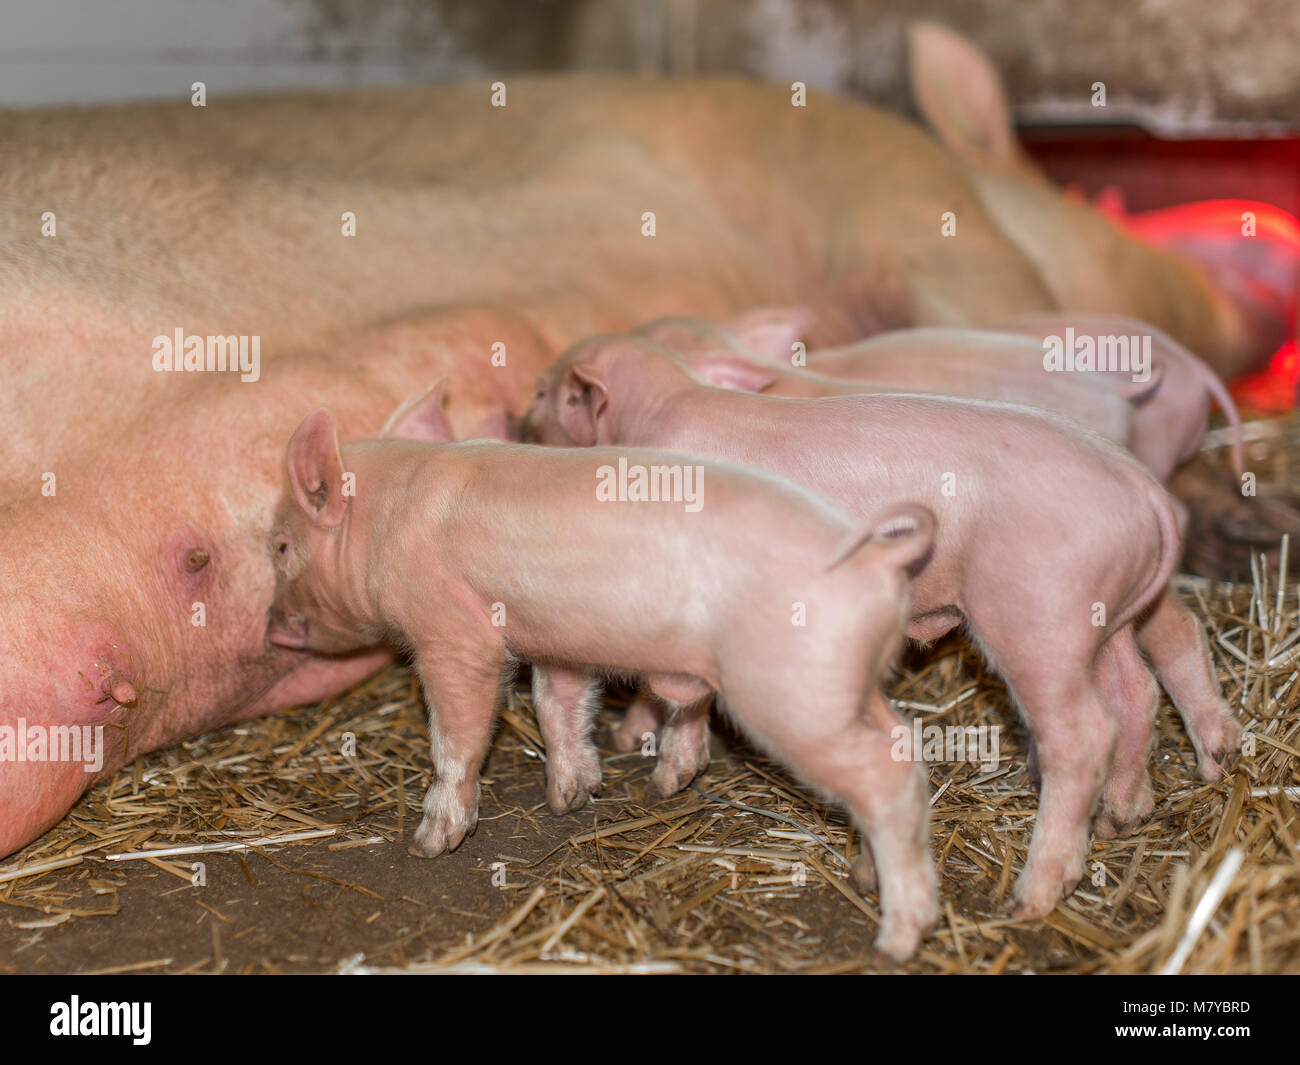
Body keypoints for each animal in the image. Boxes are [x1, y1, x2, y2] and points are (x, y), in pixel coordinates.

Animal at [266, 389, 941, 959]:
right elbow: (558, 704)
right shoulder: (560, 641)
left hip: (798, 692)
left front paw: (428, 845)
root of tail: (880, 559)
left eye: (278, 548)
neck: (384, 523)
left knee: (887, 777)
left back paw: (896, 939)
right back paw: (858, 873)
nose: (271, 629)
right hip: (852, 686)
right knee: (902, 743)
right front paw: (571, 798)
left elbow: (455, 737)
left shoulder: (453, 633)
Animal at [525, 337, 1243, 919]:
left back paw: (1031, 897)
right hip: (1107, 613)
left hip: (1042, 615)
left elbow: (680, 686)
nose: (524, 425)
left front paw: (657, 772)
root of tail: (1141, 483)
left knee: (1086, 730)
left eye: (544, 391)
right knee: (1142, 683)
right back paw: (1137, 810)